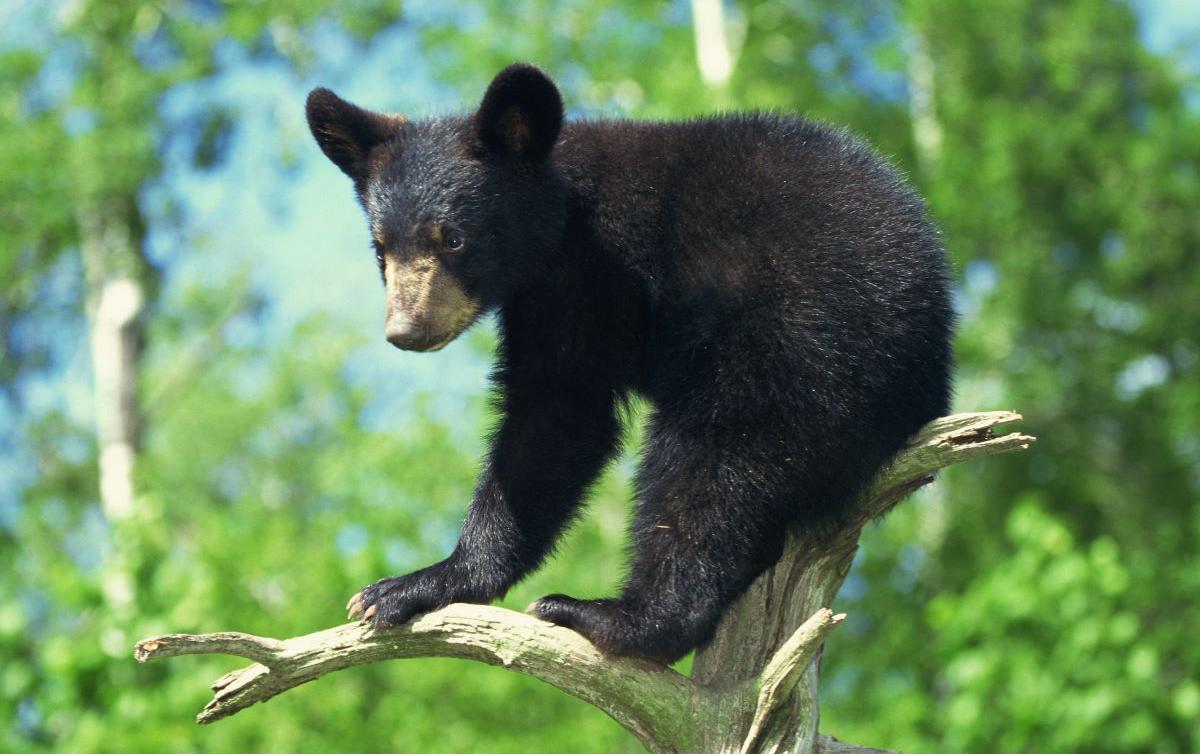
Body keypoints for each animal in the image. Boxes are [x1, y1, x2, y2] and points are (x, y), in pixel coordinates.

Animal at [305, 63, 954, 664]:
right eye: (381, 249)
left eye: (454, 238)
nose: (405, 331)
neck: (564, 215)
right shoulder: (549, 294)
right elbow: (555, 414)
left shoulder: (597, 271)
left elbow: (563, 415)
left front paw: (409, 585)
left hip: (795, 348)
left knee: (709, 469)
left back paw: (616, 616)